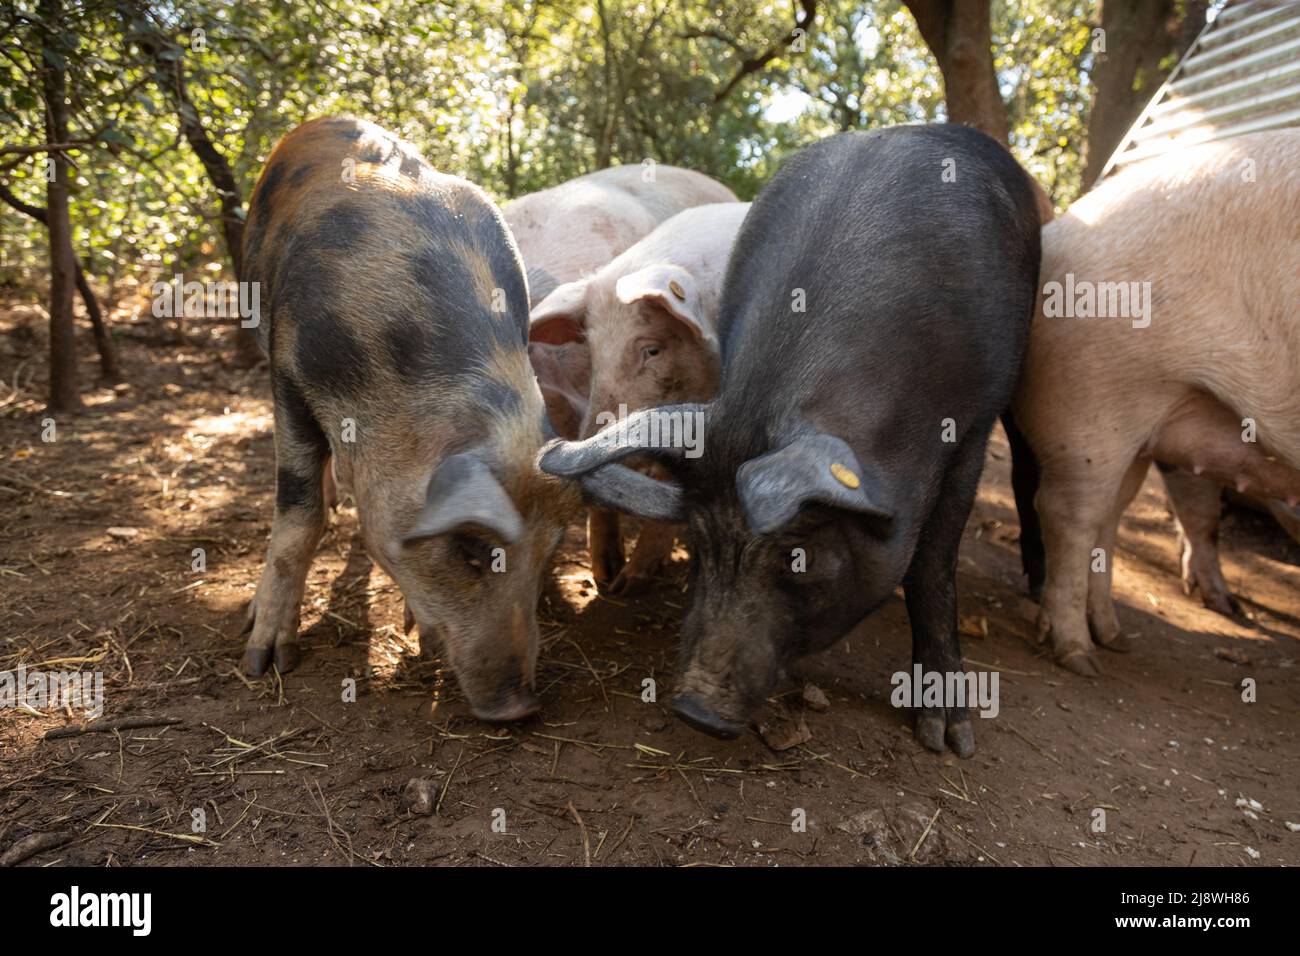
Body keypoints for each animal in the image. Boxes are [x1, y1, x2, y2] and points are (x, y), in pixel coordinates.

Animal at [238, 116, 577, 721]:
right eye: (471, 551)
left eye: (547, 556)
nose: (521, 707)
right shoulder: (288, 373)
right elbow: (299, 518)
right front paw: (265, 661)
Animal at [1009, 128, 1300, 676]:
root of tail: (1059, 229)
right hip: (1095, 401)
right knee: (1068, 513)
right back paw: (1079, 657)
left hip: (1146, 429)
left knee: (1109, 519)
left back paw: (1116, 639)